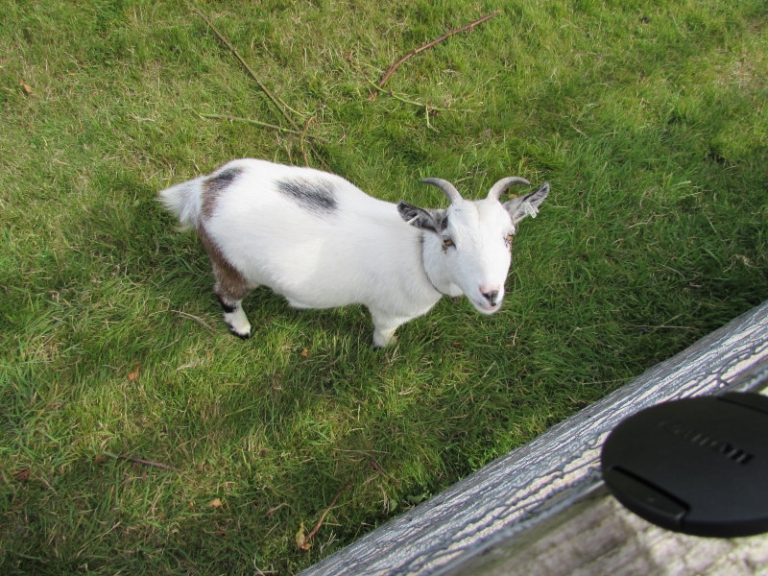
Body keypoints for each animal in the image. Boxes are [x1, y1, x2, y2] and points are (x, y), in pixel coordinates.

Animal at [159, 159, 549, 347]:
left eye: (509, 237)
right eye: (448, 240)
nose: (490, 294)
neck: (419, 254)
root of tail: (204, 191)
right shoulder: (389, 312)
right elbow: (383, 334)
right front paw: (386, 349)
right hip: (233, 263)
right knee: (225, 295)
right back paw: (241, 328)